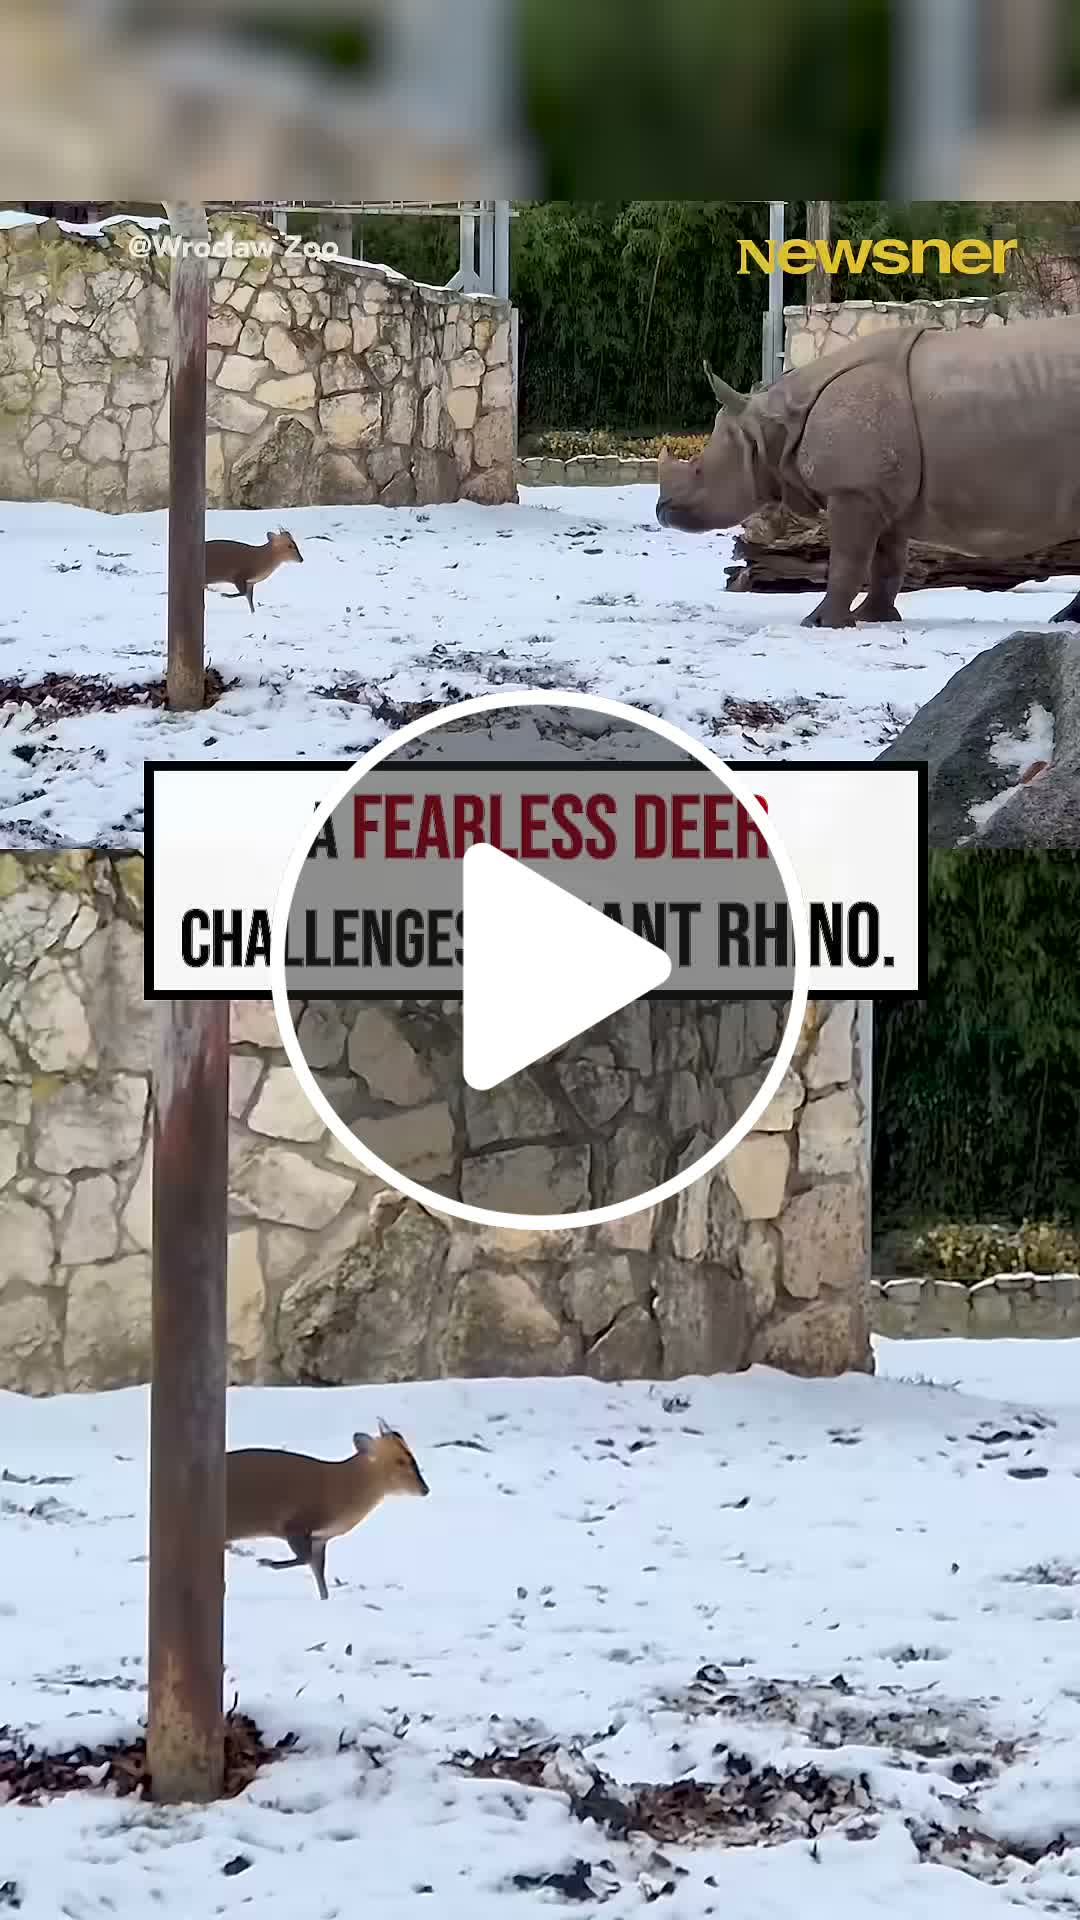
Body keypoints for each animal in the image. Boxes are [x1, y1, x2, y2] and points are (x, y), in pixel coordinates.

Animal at [656, 317, 1080, 628]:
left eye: (698, 471)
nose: (661, 510)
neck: (775, 424)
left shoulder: (853, 490)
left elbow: (847, 559)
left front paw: (820, 623)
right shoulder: (881, 491)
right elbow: (887, 562)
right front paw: (875, 619)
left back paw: (1063, 621)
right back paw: (1064, 621)